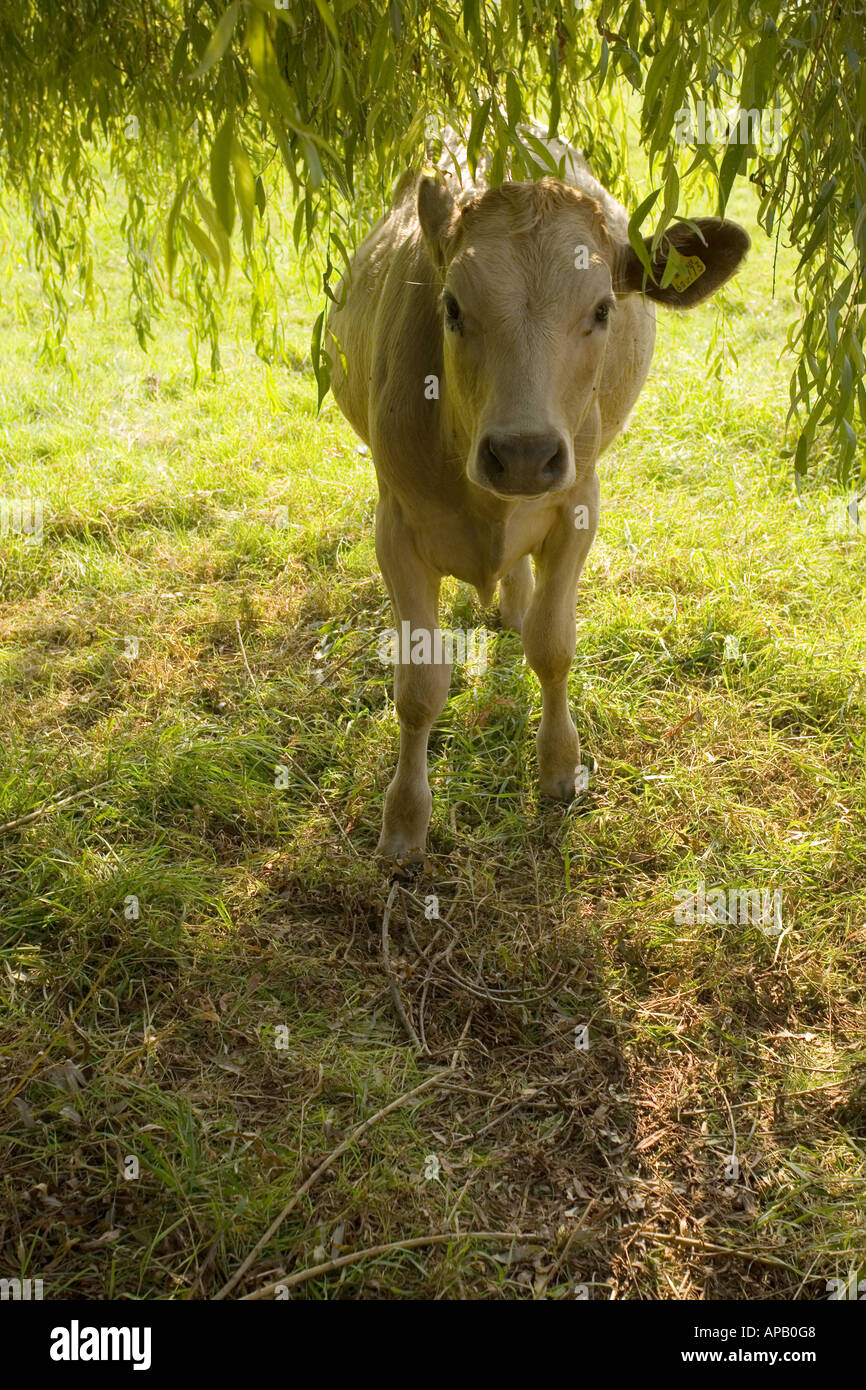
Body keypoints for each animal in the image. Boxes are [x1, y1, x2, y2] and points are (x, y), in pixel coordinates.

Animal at [326, 134, 750, 859]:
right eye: (452, 307)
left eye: (603, 309)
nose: (523, 454)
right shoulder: (396, 529)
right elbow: (420, 688)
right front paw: (404, 822)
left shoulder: (579, 507)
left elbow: (554, 648)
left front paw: (559, 767)